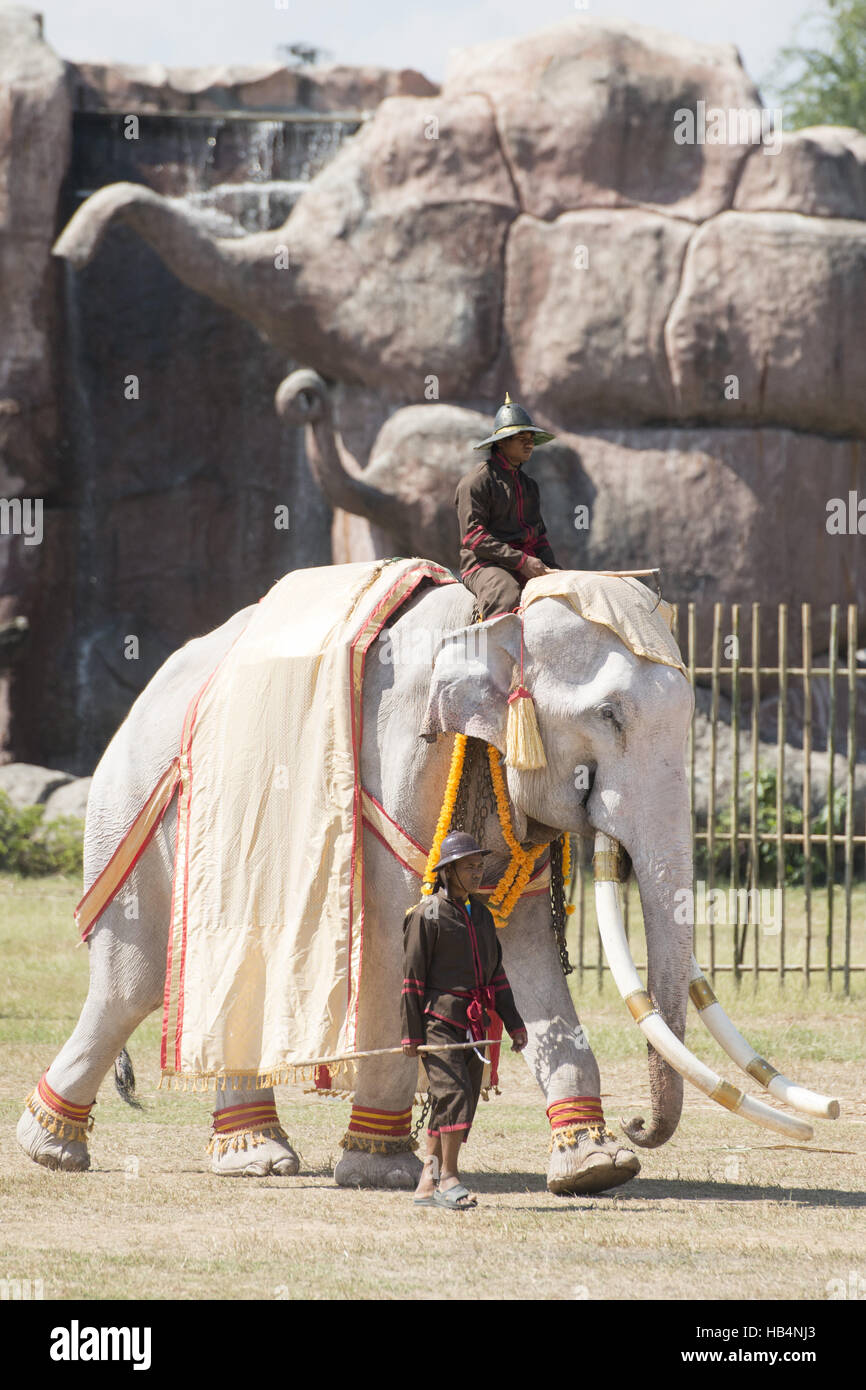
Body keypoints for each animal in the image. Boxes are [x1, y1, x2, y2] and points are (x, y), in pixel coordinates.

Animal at [18, 564, 703, 1193]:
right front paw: (383, 1169)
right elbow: (390, 956)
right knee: (130, 985)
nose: (640, 1123)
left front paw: (596, 1165)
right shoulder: (394, 771)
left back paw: (252, 1154)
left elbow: (522, 956)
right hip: (131, 820)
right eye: (610, 715)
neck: (488, 623)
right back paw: (53, 1147)